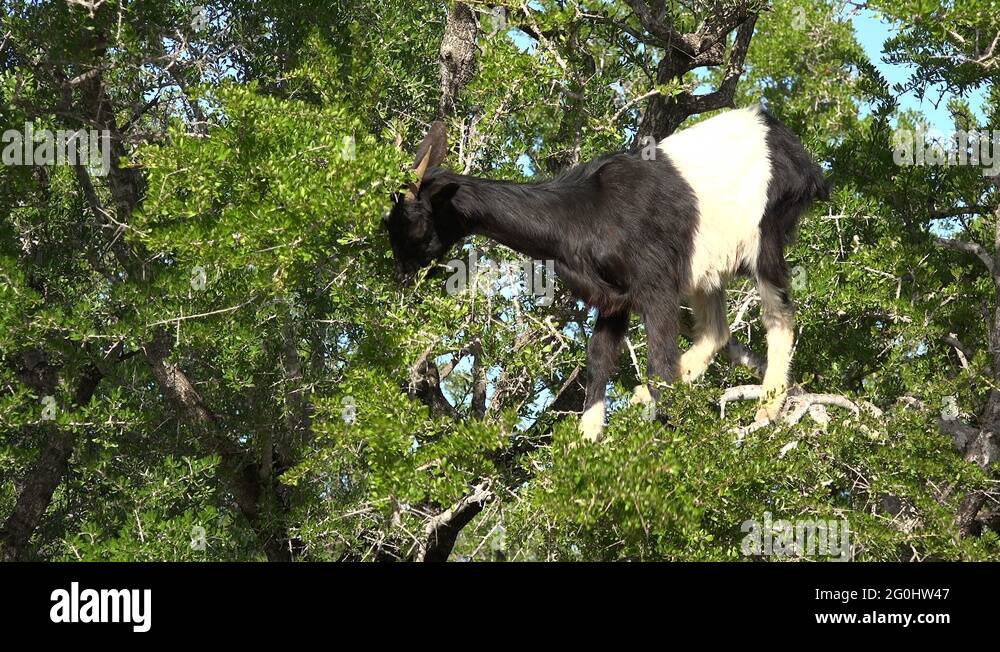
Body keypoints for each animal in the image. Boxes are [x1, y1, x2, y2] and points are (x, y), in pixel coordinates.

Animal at [384, 107, 829, 441]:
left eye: (410, 221)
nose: (402, 274)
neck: (582, 211)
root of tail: (801, 158)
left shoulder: (655, 284)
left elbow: (659, 364)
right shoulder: (614, 297)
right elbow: (598, 361)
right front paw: (585, 444)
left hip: (764, 238)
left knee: (778, 316)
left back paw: (768, 407)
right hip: (707, 266)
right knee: (716, 331)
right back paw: (647, 395)